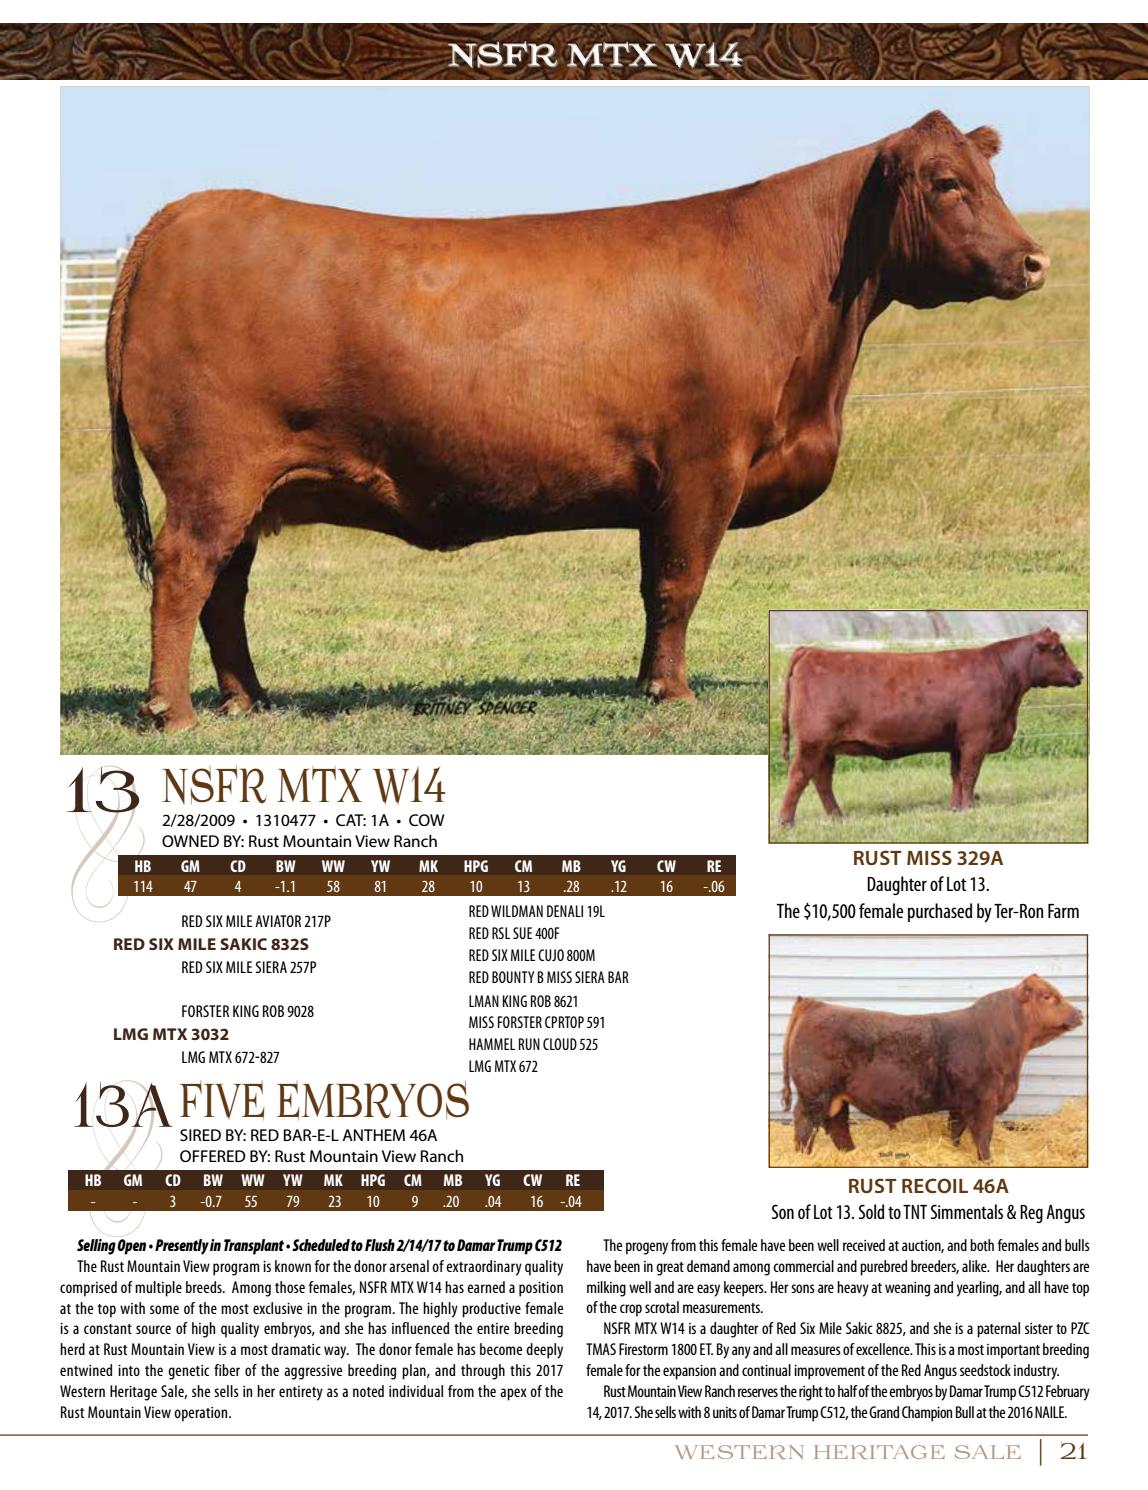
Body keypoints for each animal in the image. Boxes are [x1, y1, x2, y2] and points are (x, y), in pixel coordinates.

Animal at [105, 110, 1048, 731]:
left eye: (993, 177)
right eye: (947, 182)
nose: (1033, 260)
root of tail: (187, 210)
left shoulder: (663, 486)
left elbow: (653, 587)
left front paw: (646, 681)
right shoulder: (706, 462)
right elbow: (680, 583)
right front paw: (673, 694)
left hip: (248, 488)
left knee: (225, 590)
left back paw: (248, 699)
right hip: (214, 474)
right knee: (186, 573)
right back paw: (173, 711)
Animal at [778, 628, 1083, 825]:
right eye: (1059, 650)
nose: (1079, 674)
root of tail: (812, 651)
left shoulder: (958, 741)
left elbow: (956, 776)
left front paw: (956, 808)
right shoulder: (977, 737)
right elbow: (970, 774)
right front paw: (970, 808)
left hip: (825, 747)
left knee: (821, 780)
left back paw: (837, 817)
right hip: (813, 742)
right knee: (798, 776)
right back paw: (786, 821)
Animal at [780, 975, 1082, 1161]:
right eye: (1047, 996)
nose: (1079, 1013)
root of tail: (814, 1004)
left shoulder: (961, 1103)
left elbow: (957, 1130)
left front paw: (956, 1151)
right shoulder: (984, 1101)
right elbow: (983, 1136)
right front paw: (986, 1160)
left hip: (836, 1097)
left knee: (837, 1125)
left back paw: (850, 1154)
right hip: (815, 1092)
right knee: (805, 1124)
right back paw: (804, 1157)